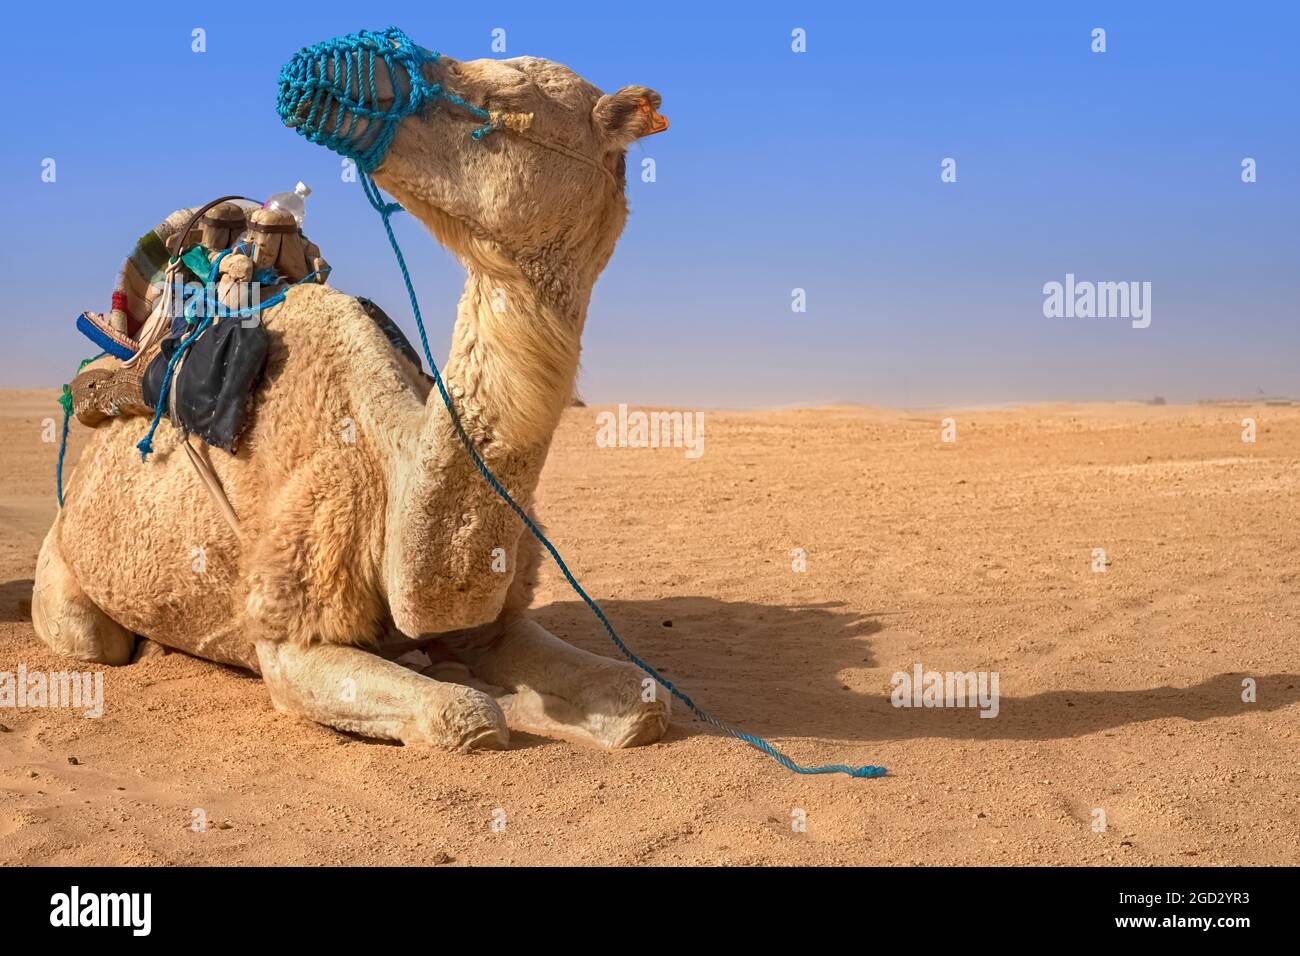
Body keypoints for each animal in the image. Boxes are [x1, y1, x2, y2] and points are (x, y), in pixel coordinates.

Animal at [30, 31, 672, 752]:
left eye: (501, 99)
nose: (326, 67)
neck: (389, 467)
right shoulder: (292, 631)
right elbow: (468, 718)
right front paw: (483, 696)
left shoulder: (497, 620)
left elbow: (642, 700)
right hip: (65, 578)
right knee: (95, 638)